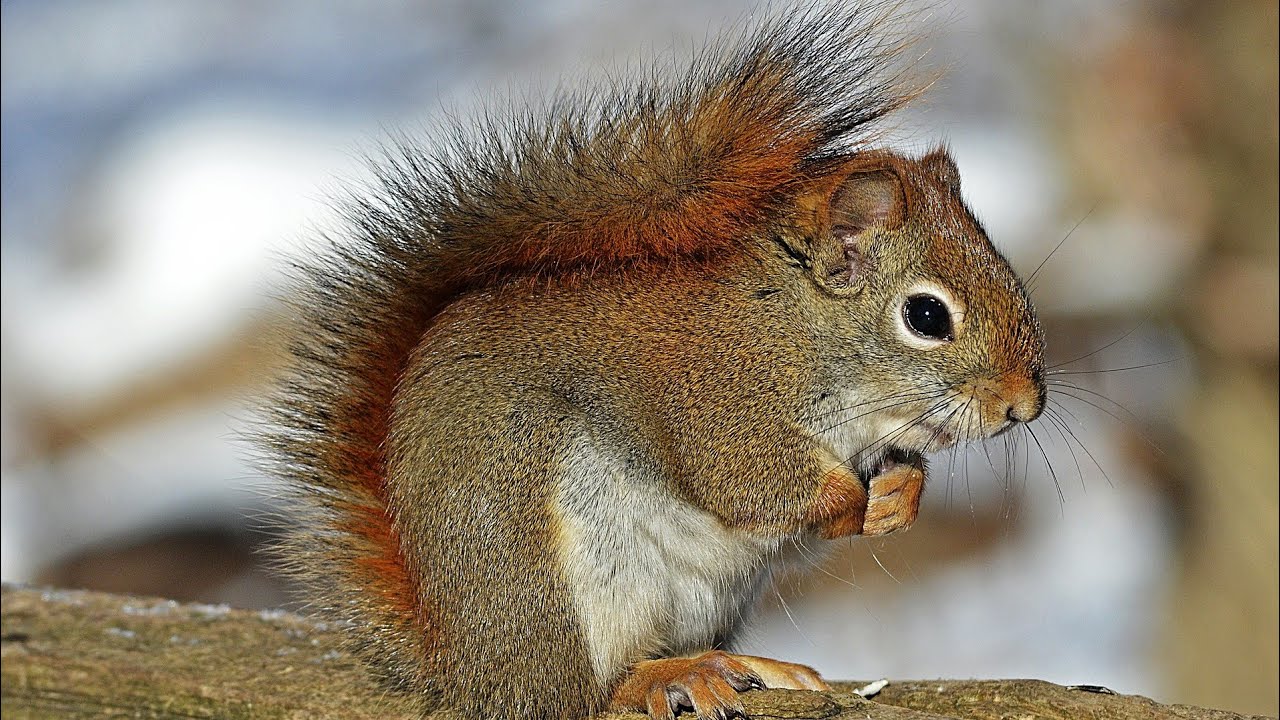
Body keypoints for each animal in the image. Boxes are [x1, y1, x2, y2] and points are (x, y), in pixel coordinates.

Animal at [260, 3, 1047, 719]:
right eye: (926, 316)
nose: (1024, 405)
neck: (799, 327)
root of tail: (464, 670)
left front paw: (900, 496)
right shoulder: (717, 398)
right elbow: (749, 484)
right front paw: (852, 500)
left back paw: (739, 666)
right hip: (547, 575)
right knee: (583, 695)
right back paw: (663, 678)